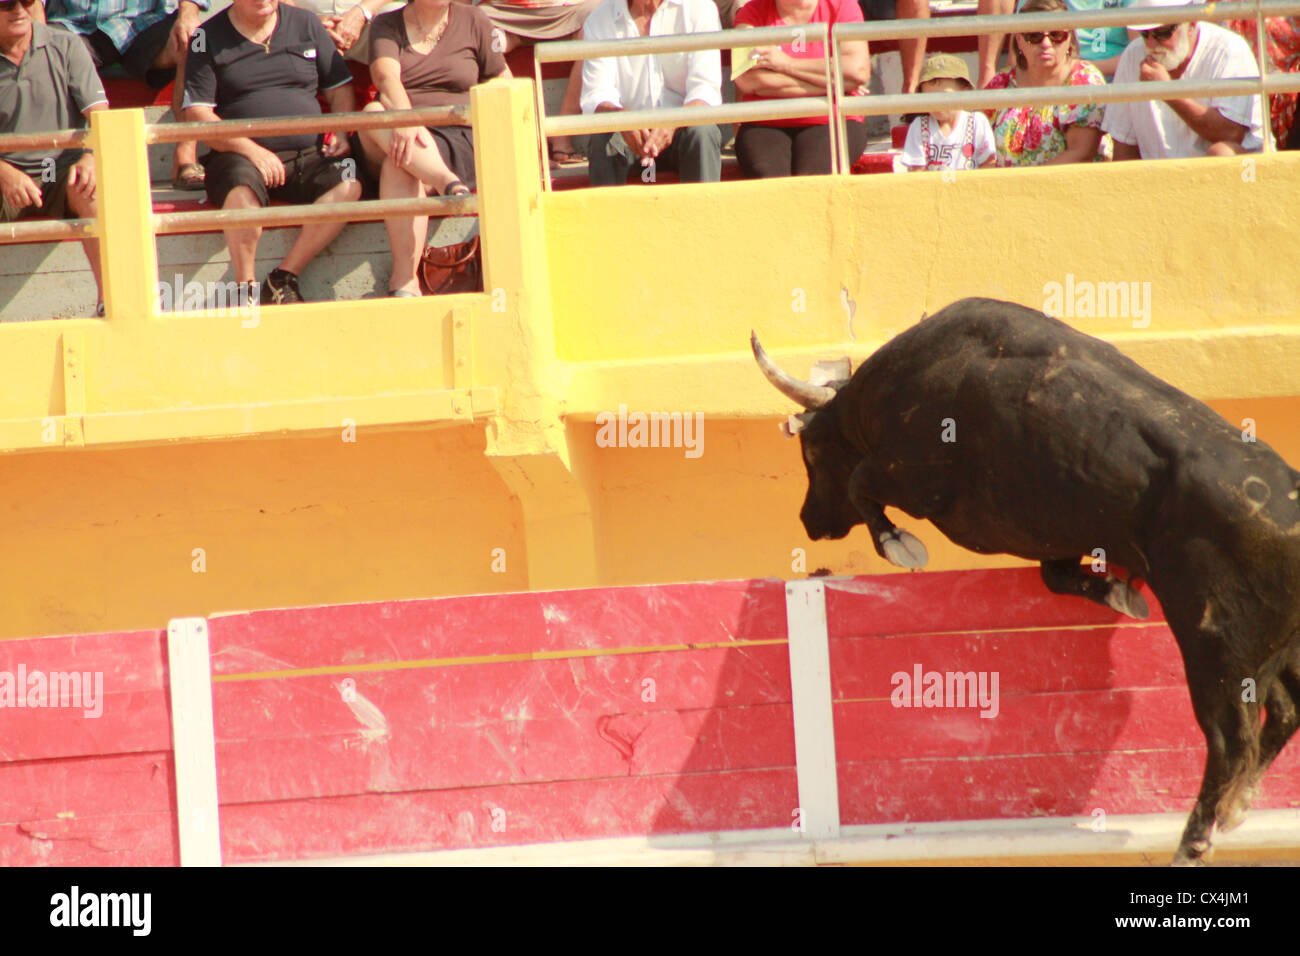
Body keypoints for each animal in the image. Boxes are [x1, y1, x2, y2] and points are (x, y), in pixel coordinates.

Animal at [752, 296, 1300, 865]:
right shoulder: (1054, 535)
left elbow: (863, 482)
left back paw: (1195, 841)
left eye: (812, 451)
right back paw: (1237, 808)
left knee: (1232, 742)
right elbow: (1056, 575)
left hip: (1218, 651)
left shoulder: (911, 476)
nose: (809, 521)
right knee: (1285, 710)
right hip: (1275, 647)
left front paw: (901, 545)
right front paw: (1122, 593)